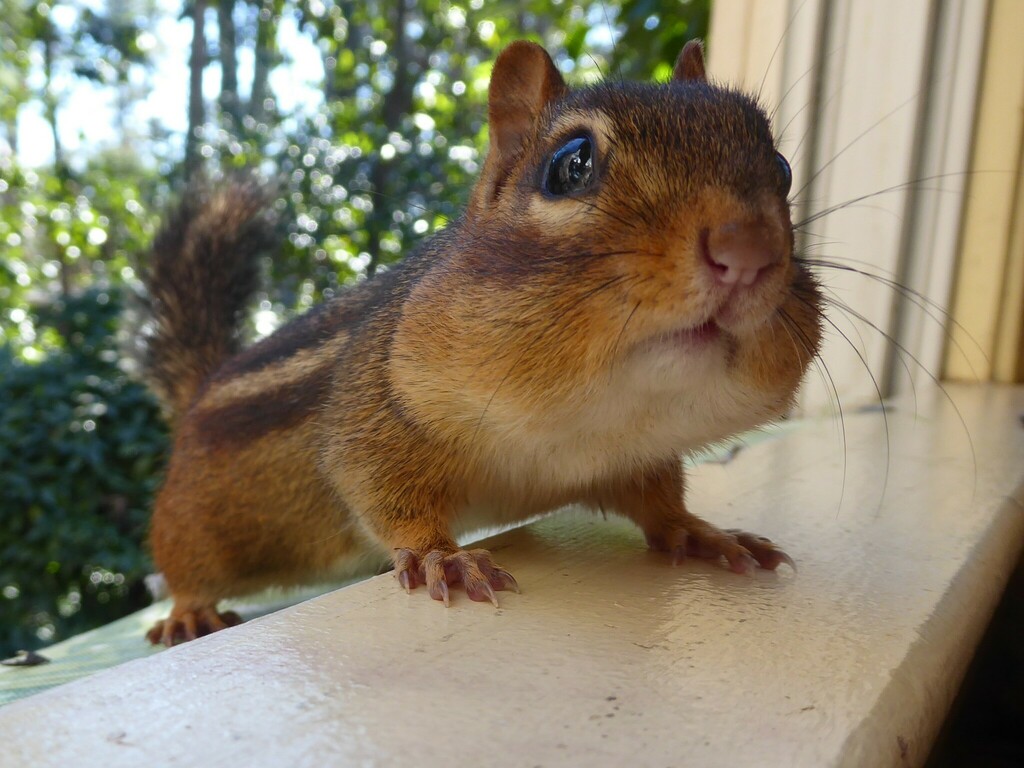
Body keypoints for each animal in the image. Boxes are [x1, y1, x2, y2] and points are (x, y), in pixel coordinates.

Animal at [140, 39, 823, 646]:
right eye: (570, 165)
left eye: (783, 168)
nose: (748, 251)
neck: (583, 424)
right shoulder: (373, 409)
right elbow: (379, 489)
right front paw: (441, 556)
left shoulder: (636, 456)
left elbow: (660, 503)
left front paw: (703, 533)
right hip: (193, 528)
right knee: (182, 570)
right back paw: (189, 611)